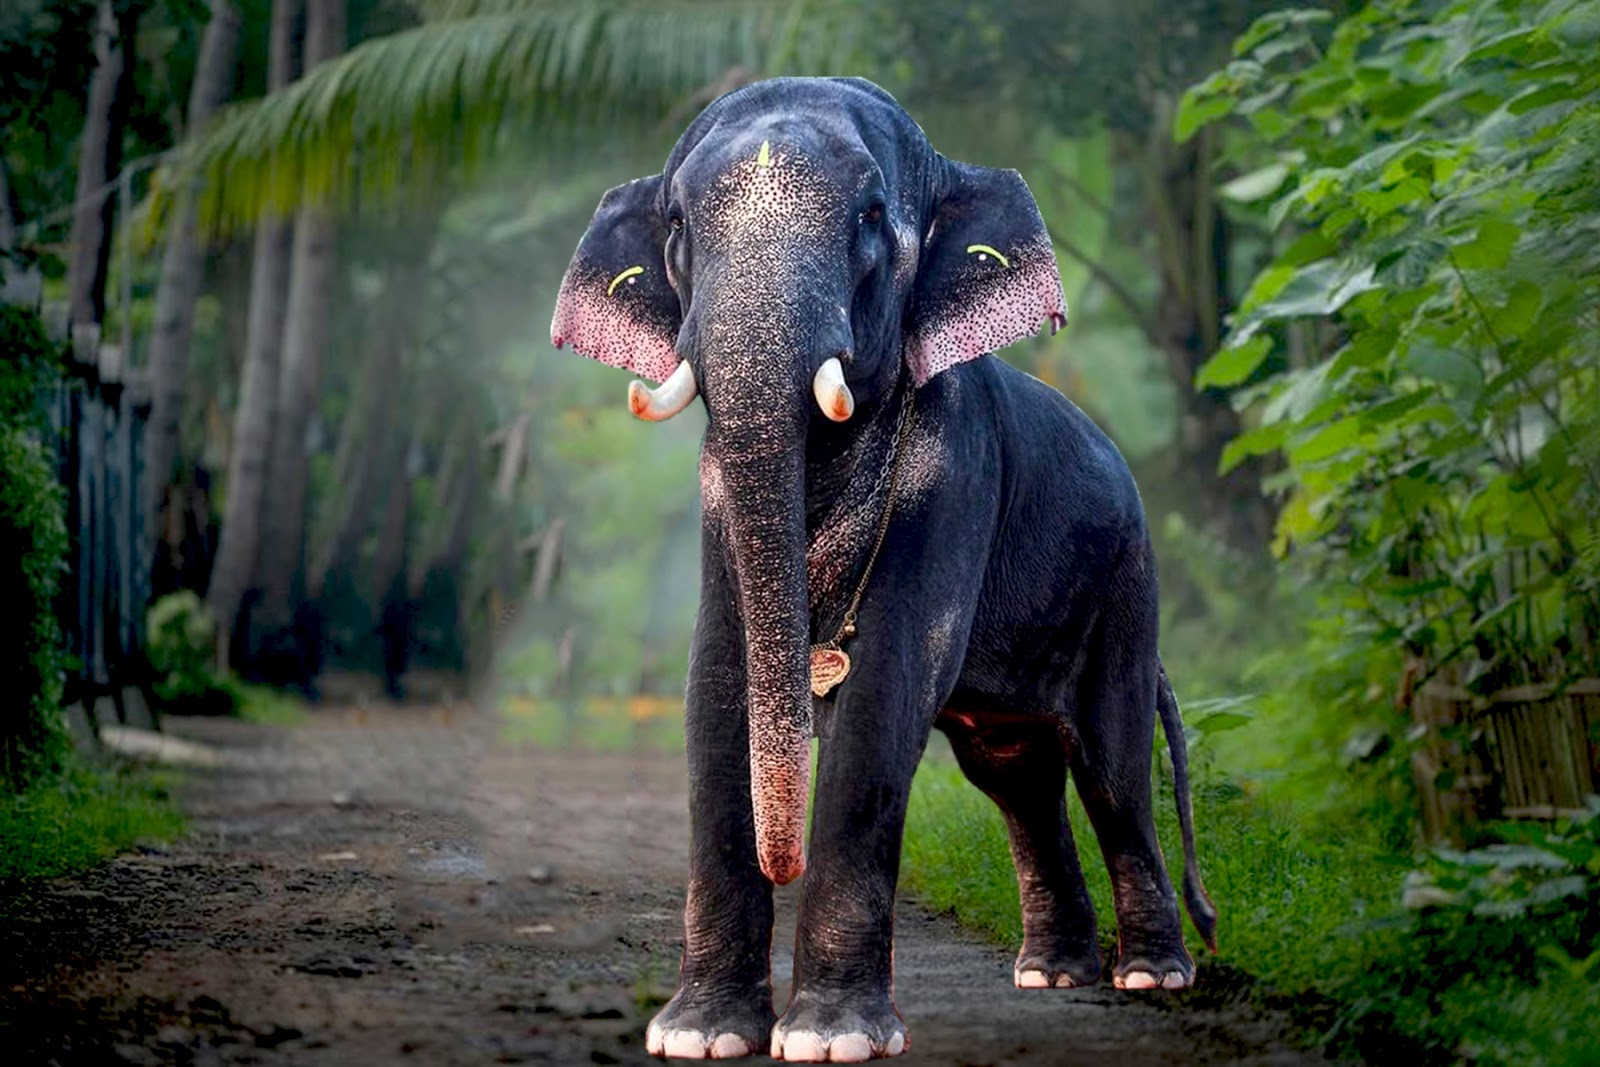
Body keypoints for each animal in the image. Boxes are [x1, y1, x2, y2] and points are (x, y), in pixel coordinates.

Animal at [550, 77, 1216, 1063]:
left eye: (871, 215)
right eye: (674, 222)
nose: (780, 856)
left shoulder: (956, 473)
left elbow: (886, 685)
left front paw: (830, 1038)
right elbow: (715, 682)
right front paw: (701, 1034)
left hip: (1128, 588)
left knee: (1114, 767)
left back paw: (1151, 975)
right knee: (1016, 777)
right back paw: (1053, 973)